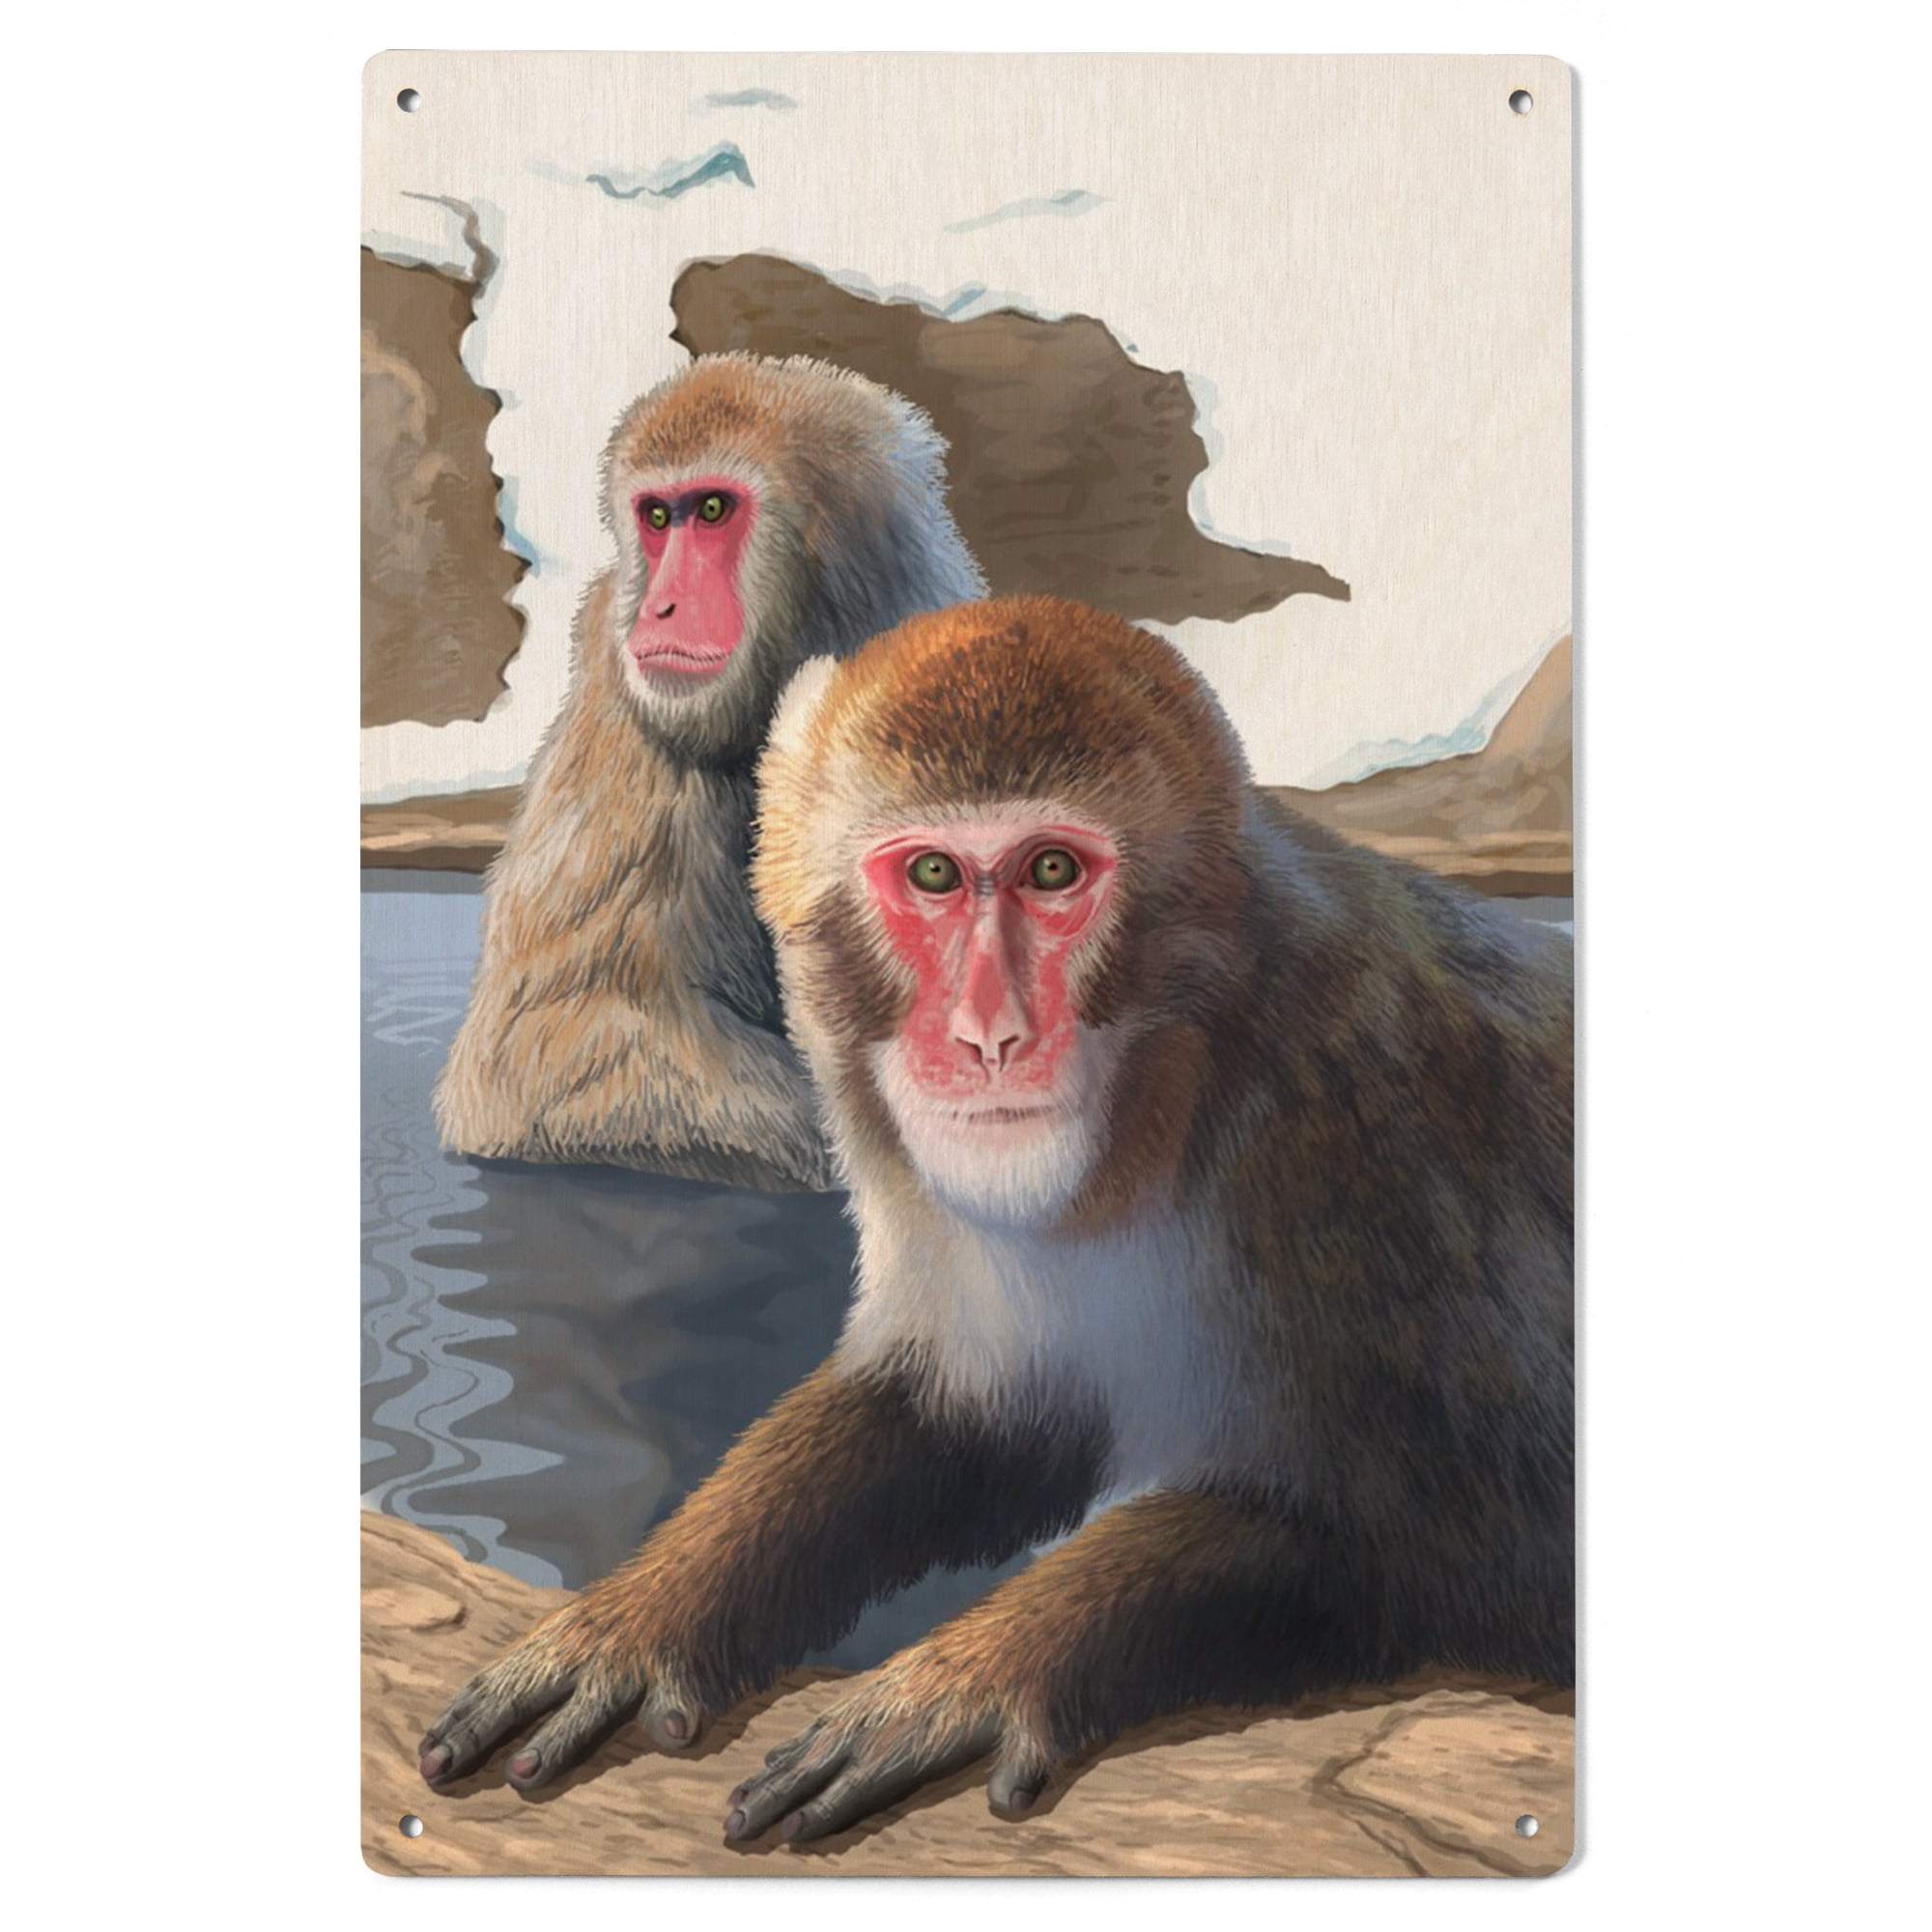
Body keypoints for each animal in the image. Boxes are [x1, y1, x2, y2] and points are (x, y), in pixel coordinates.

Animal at [417, 595, 1573, 1845]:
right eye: (931, 872)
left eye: (1052, 869)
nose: (988, 1034)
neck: (1175, 1089)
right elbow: (968, 1415)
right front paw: (645, 1610)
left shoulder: (1359, 1132)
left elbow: (1456, 1545)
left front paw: (984, 1666)